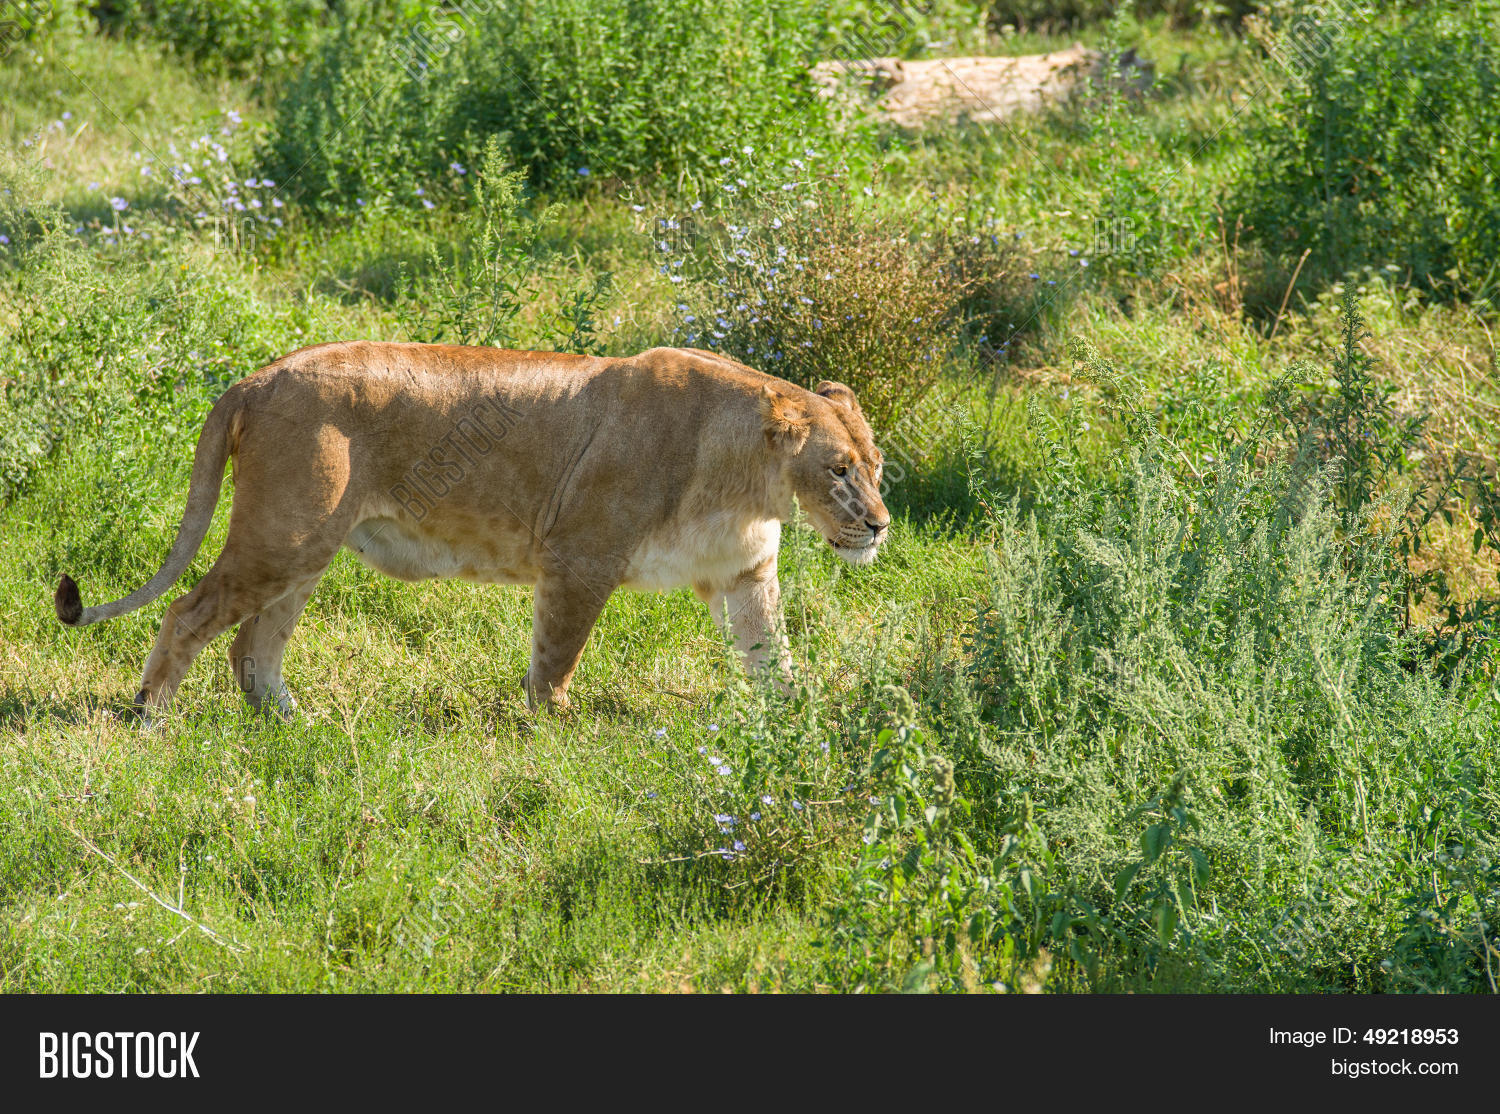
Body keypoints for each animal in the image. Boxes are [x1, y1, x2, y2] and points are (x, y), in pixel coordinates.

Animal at [54, 343, 890, 716]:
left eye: (877, 466)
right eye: (839, 469)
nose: (880, 526)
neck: (748, 484)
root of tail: (253, 378)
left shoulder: (743, 574)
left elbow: (773, 657)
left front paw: (801, 727)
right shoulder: (579, 557)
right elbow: (555, 659)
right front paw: (555, 732)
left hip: (305, 551)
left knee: (253, 644)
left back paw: (291, 723)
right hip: (282, 538)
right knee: (188, 613)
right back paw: (151, 719)